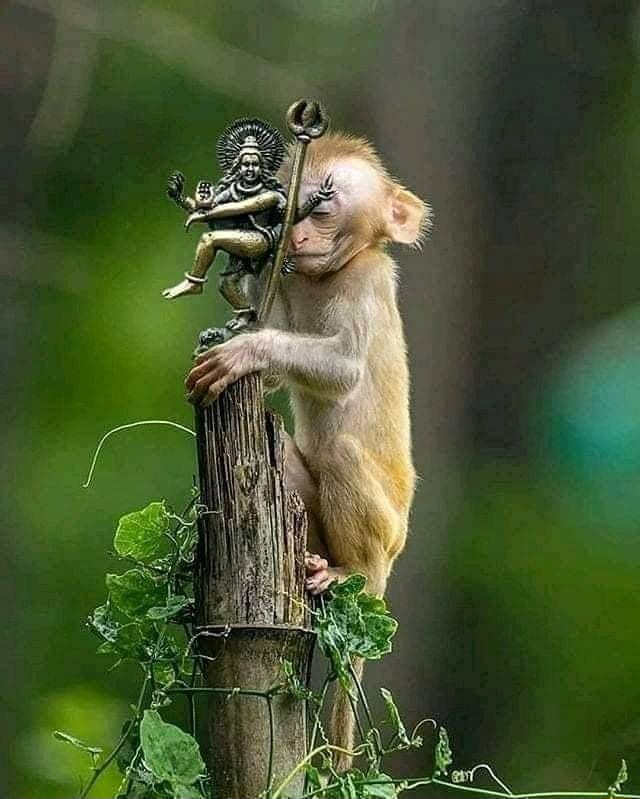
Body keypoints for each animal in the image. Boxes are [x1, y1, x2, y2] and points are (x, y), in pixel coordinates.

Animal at [184, 131, 430, 769]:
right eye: (291, 210)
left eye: (323, 206)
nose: (294, 240)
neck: (328, 274)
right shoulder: (290, 280)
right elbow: (270, 382)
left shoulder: (367, 281)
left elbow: (343, 370)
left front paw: (245, 349)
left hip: (384, 534)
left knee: (341, 452)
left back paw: (346, 572)